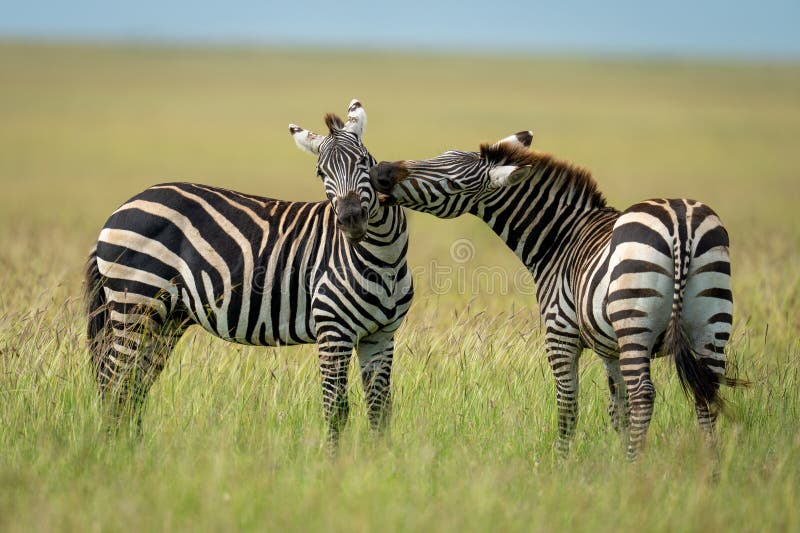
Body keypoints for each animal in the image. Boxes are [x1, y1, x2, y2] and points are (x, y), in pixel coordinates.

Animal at [85, 99, 413, 445]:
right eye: (321, 172)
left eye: (364, 162)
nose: (350, 219)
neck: (383, 260)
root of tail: (120, 209)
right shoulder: (333, 331)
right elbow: (336, 410)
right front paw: (336, 460)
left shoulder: (381, 337)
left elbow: (380, 410)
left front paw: (377, 456)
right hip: (135, 303)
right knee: (114, 382)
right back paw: (114, 448)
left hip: (164, 318)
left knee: (134, 385)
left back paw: (132, 446)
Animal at [370, 132, 744, 459]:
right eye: (440, 154)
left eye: (454, 183)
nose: (380, 172)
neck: (561, 237)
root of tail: (680, 222)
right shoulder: (609, 349)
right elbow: (617, 411)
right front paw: (618, 465)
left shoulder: (560, 334)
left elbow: (568, 406)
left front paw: (563, 465)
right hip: (711, 323)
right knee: (706, 394)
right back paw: (710, 472)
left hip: (635, 322)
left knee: (644, 395)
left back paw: (639, 471)